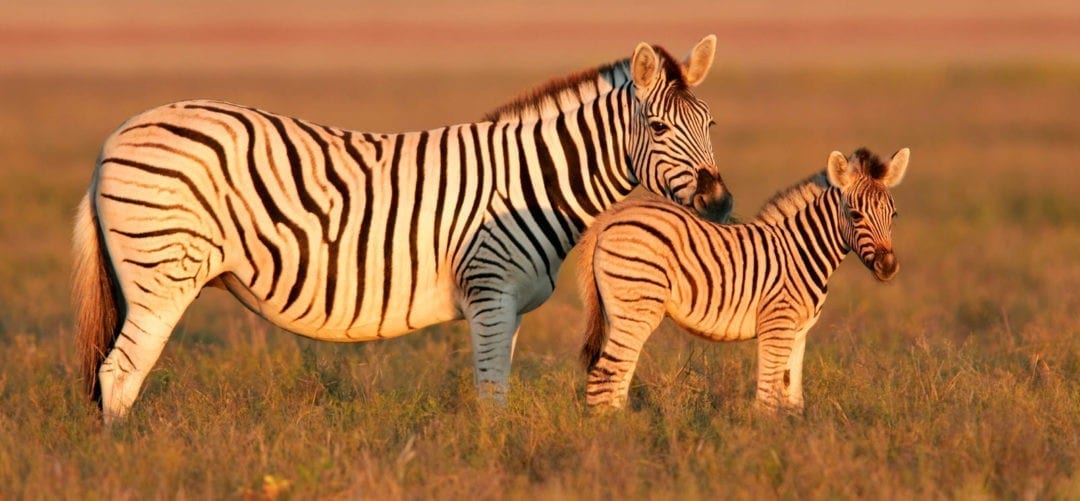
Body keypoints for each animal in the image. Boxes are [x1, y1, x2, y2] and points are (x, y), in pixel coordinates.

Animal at [73, 35, 734, 423]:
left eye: (710, 123)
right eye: (658, 127)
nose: (721, 201)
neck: (533, 182)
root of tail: (114, 139)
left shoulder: (508, 305)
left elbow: (496, 386)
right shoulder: (489, 290)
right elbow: (492, 397)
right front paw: (495, 459)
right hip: (163, 276)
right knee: (119, 373)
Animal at [578, 147, 908, 413]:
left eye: (893, 214)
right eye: (855, 214)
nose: (888, 267)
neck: (801, 251)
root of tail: (611, 217)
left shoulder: (798, 332)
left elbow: (792, 397)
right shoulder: (777, 325)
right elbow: (768, 398)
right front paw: (762, 443)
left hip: (624, 314)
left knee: (618, 376)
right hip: (637, 306)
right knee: (604, 377)